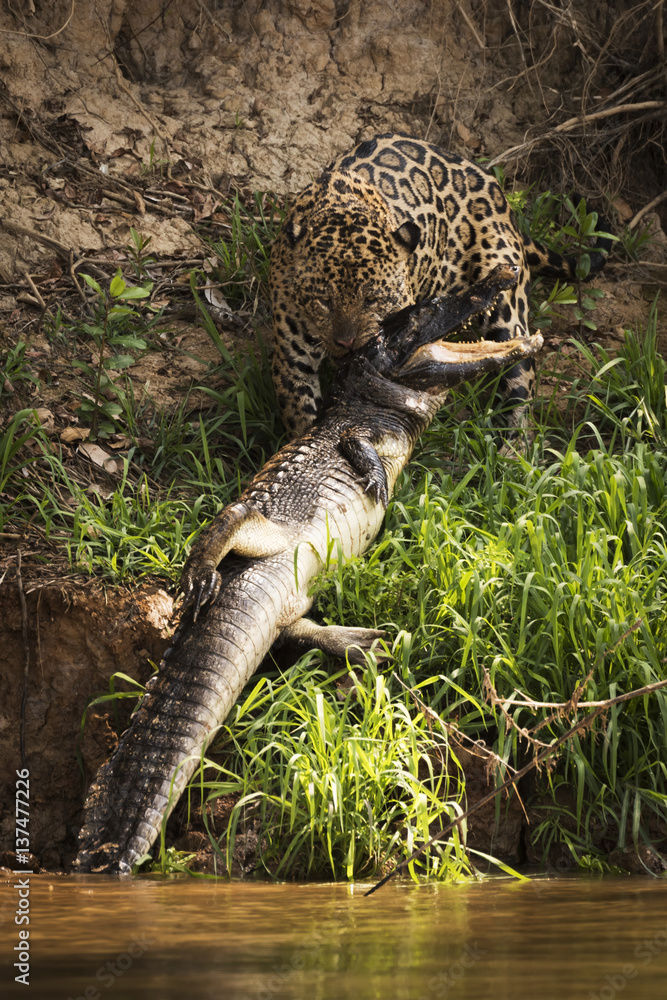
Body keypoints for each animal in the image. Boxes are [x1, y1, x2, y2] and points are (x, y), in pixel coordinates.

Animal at [269, 132, 610, 441]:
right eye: (323, 301)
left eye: (373, 300)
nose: (346, 342)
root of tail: (498, 193)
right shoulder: (292, 363)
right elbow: (301, 415)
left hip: (505, 303)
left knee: (521, 374)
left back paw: (513, 449)